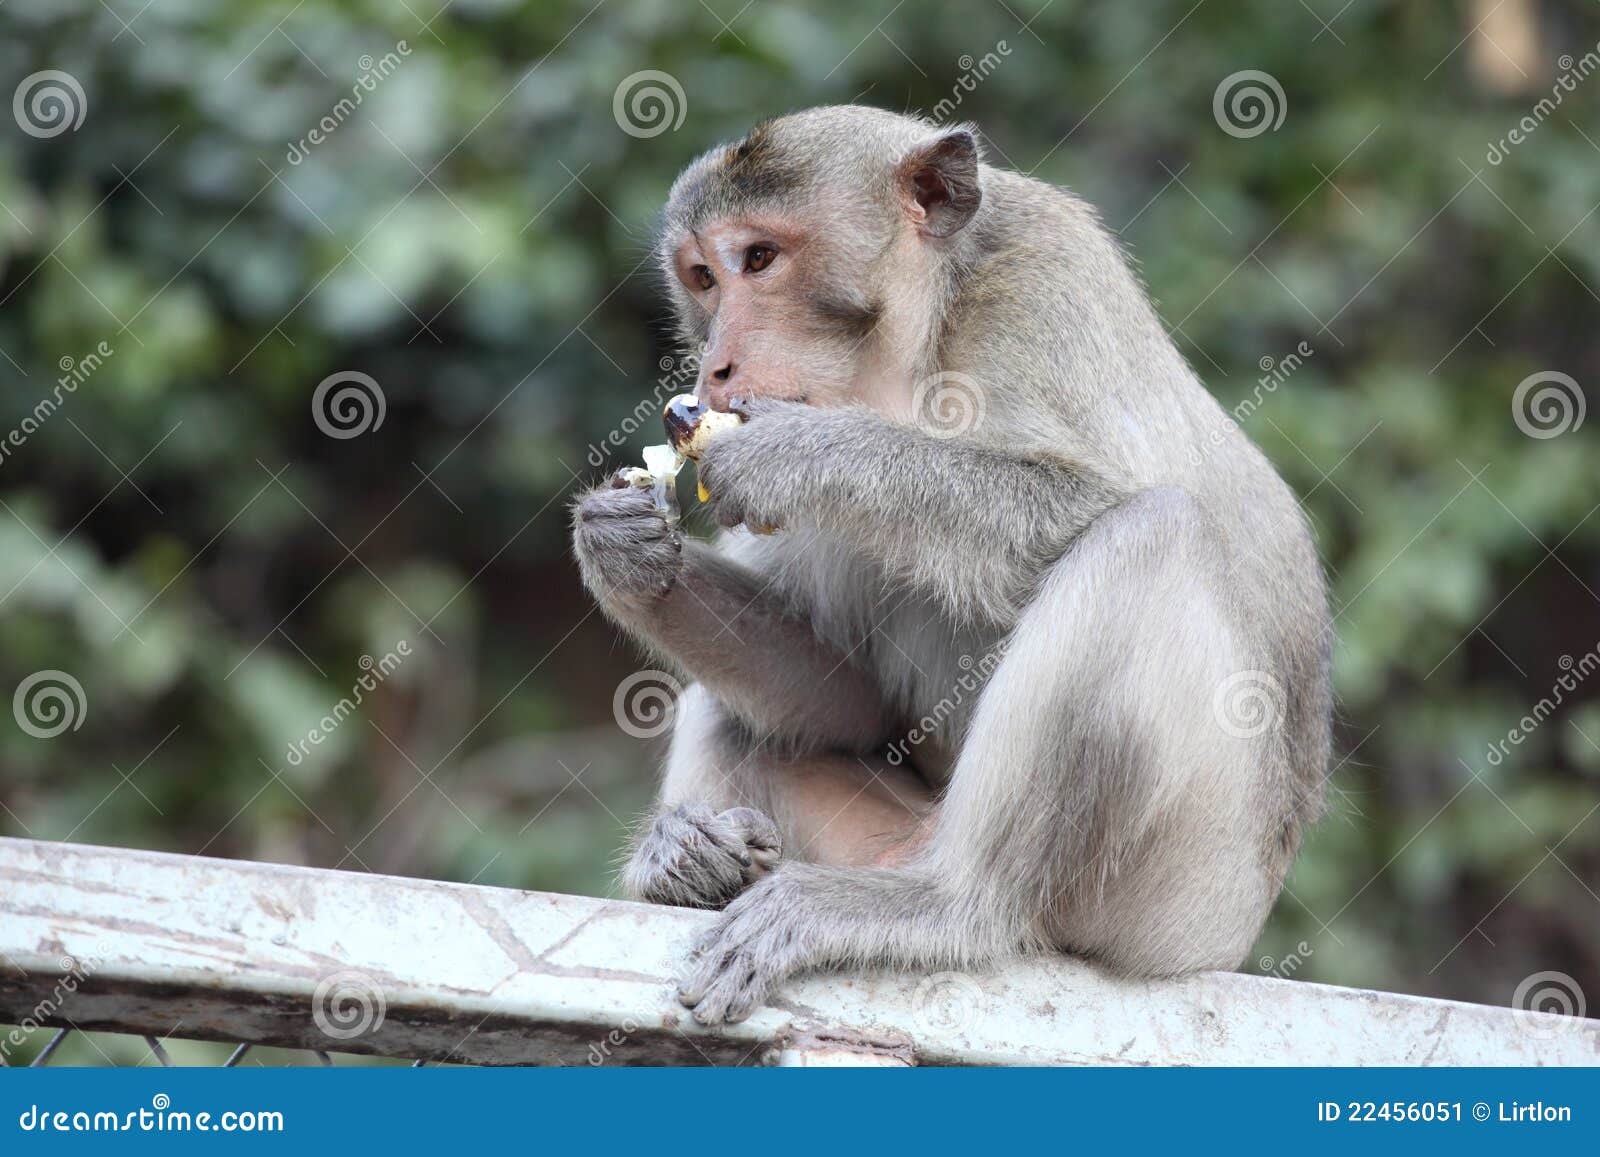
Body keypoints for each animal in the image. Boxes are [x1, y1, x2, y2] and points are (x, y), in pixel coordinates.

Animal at [570, 105, 1331, 1027]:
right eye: (702, 277)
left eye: (759, 259)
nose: (714, 366)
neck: (919, 351)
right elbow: (851, 701)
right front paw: (622, 552)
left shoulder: (1037, 294)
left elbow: (1088, 497)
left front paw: (799, 452)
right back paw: (689, 860)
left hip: (1178, 893)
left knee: (1149, 535)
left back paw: (950, 905)